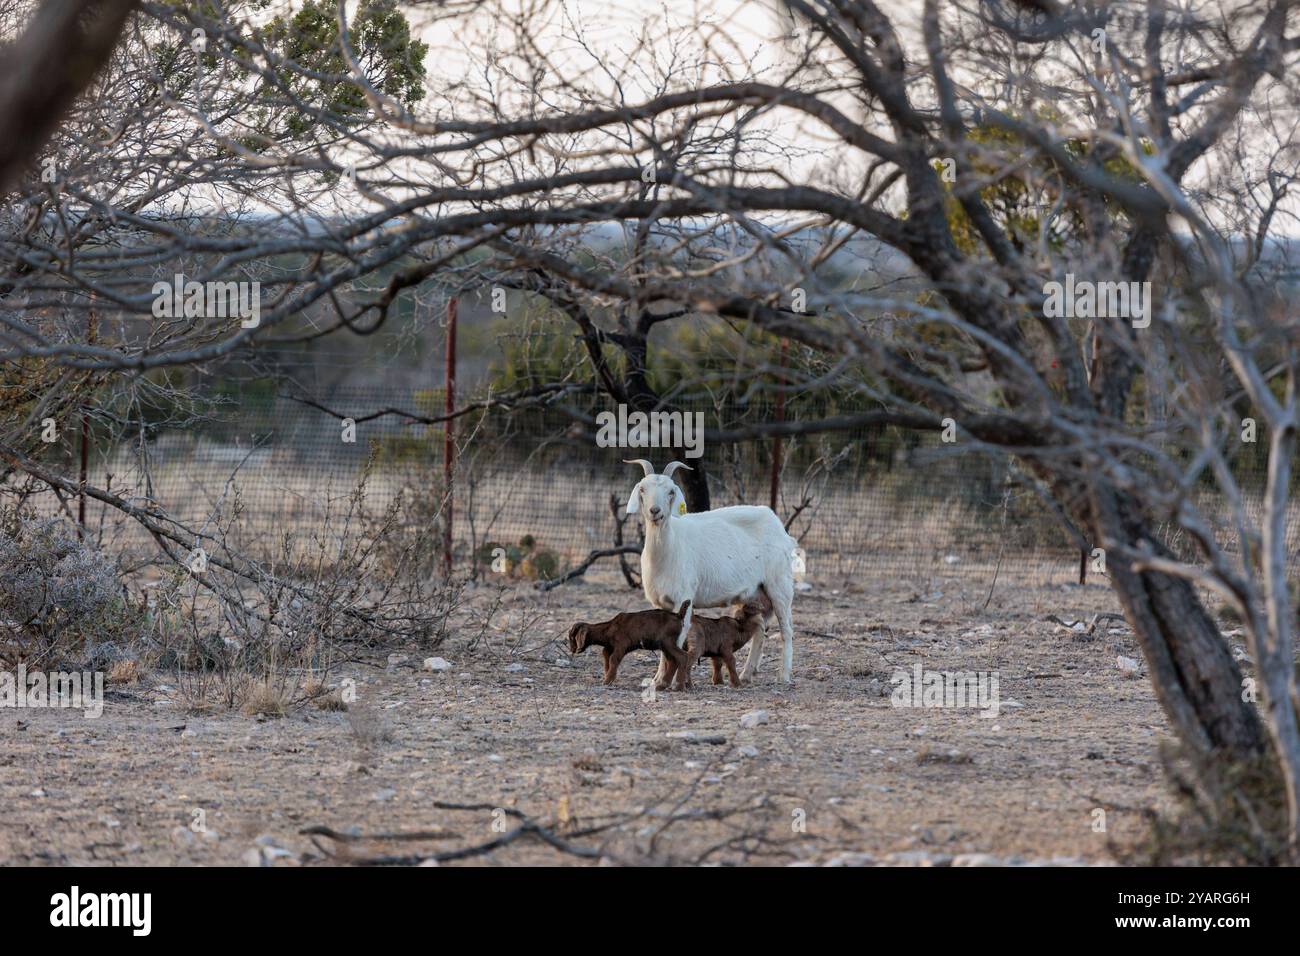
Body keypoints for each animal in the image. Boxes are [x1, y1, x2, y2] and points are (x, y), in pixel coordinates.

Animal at [624, 459, 798, 684]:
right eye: (642, 489)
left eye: (671, 491)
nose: (655, 511)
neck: (670, 546)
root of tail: (779, 526)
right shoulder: (661, 603)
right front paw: (658, 679)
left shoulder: (684, 599)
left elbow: (676, 642)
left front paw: (668, 680)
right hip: (755, 593)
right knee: (760, 629)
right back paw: (747, 674)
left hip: (779, 585)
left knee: (787, 629)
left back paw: (783, 675)